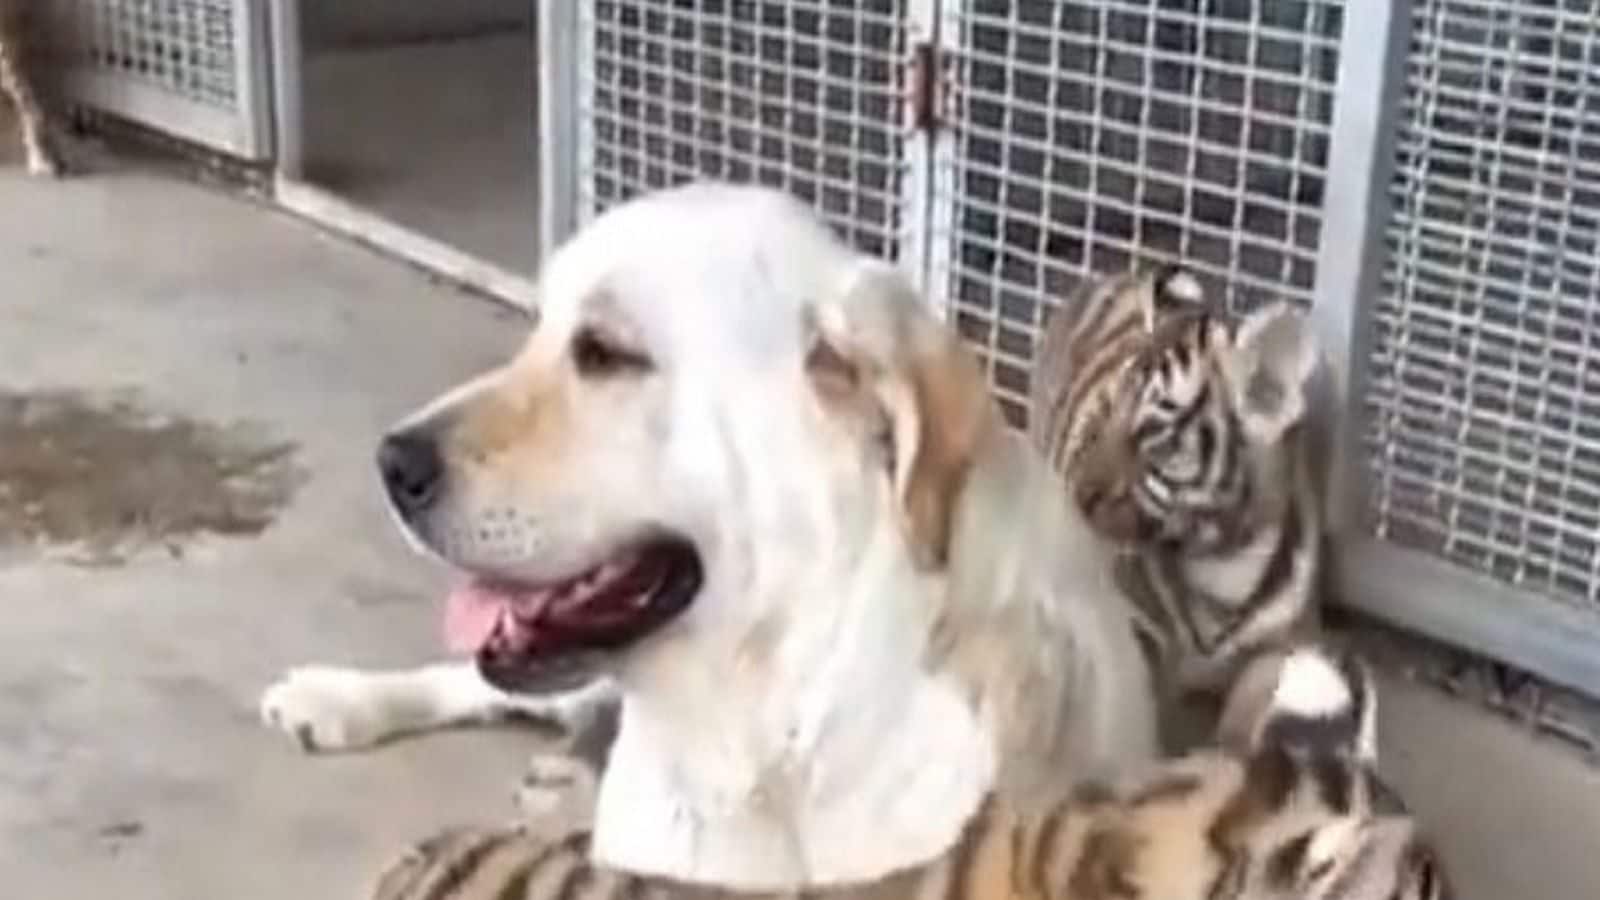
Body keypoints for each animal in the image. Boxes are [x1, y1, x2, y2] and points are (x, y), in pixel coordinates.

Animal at [1026, 264, 1329, 751]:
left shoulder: (1286, 646)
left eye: (1153, 434)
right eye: (1105, 412)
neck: (1221, 565)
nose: (1077, 495)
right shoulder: (1133, 635)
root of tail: (1115, 272)